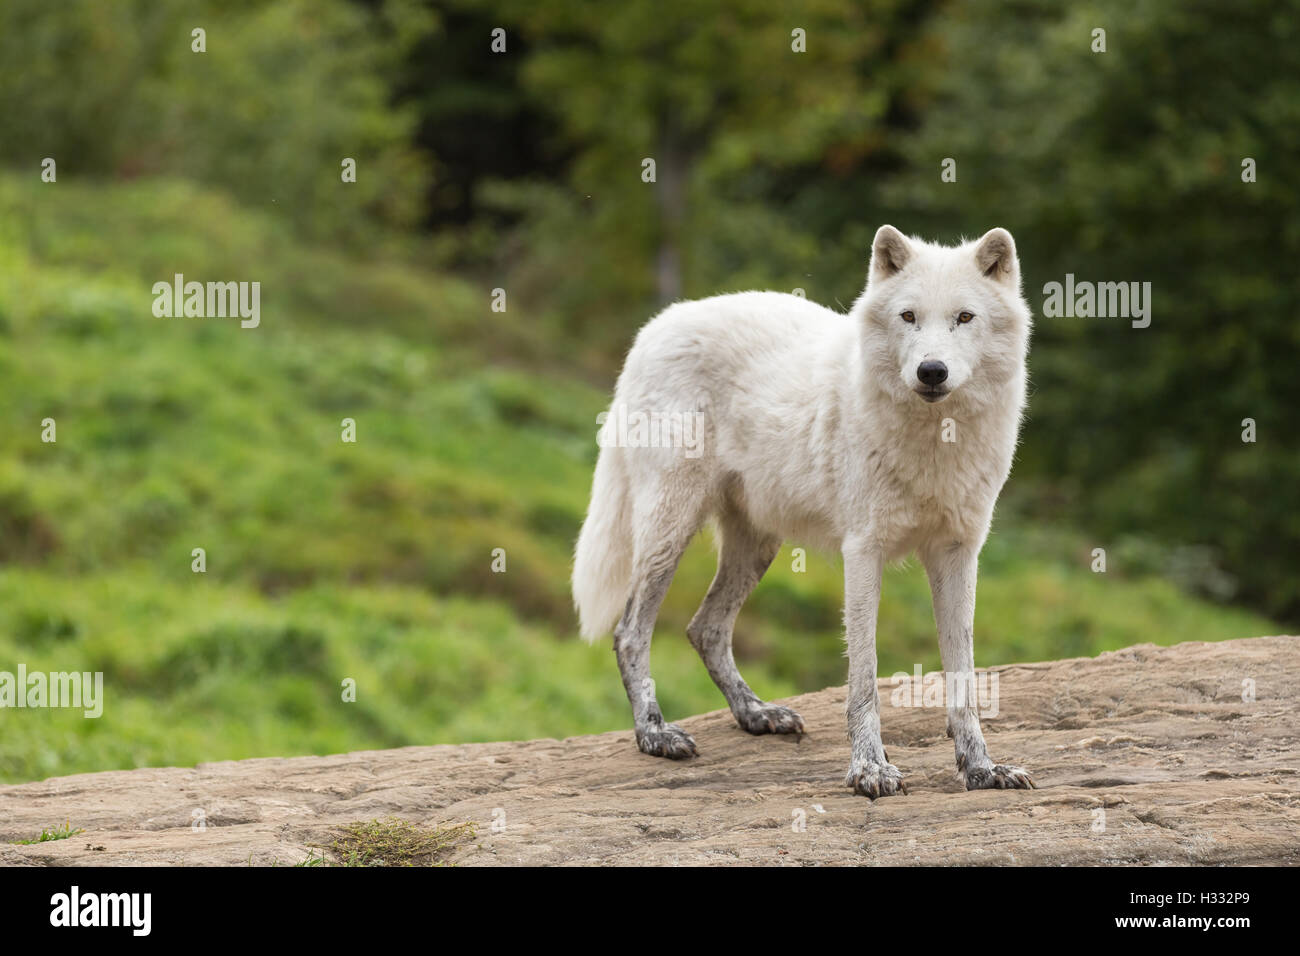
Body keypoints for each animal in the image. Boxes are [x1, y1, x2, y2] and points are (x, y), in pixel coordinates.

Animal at [572, 225, 1035, 798]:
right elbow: (864, 676)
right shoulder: (863, 552)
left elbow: (964, 677)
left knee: (704, 628)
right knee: (630, 632)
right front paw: (869, 769)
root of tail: (655, 326)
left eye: (965, 318)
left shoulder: (958, 554)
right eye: (908, 316)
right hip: (669, 532)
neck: (935, 443)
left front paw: (981, 769)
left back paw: (755, 713)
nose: (932, 371)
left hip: (756, 545)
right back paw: (655, 734)